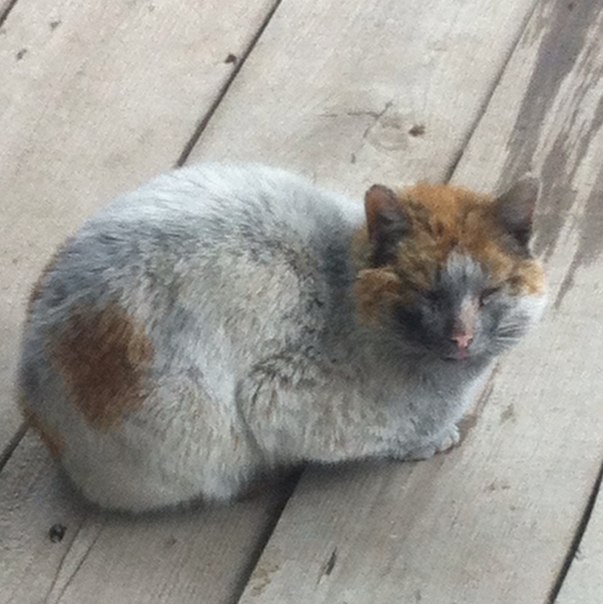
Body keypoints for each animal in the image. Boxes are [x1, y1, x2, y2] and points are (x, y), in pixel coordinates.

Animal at [17, 164, 546, 512]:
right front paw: (429, 440)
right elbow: (391, 436)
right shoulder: (275, 397)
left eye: (489, 292)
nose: (461, 336)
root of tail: (33, 399)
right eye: (426, 293)